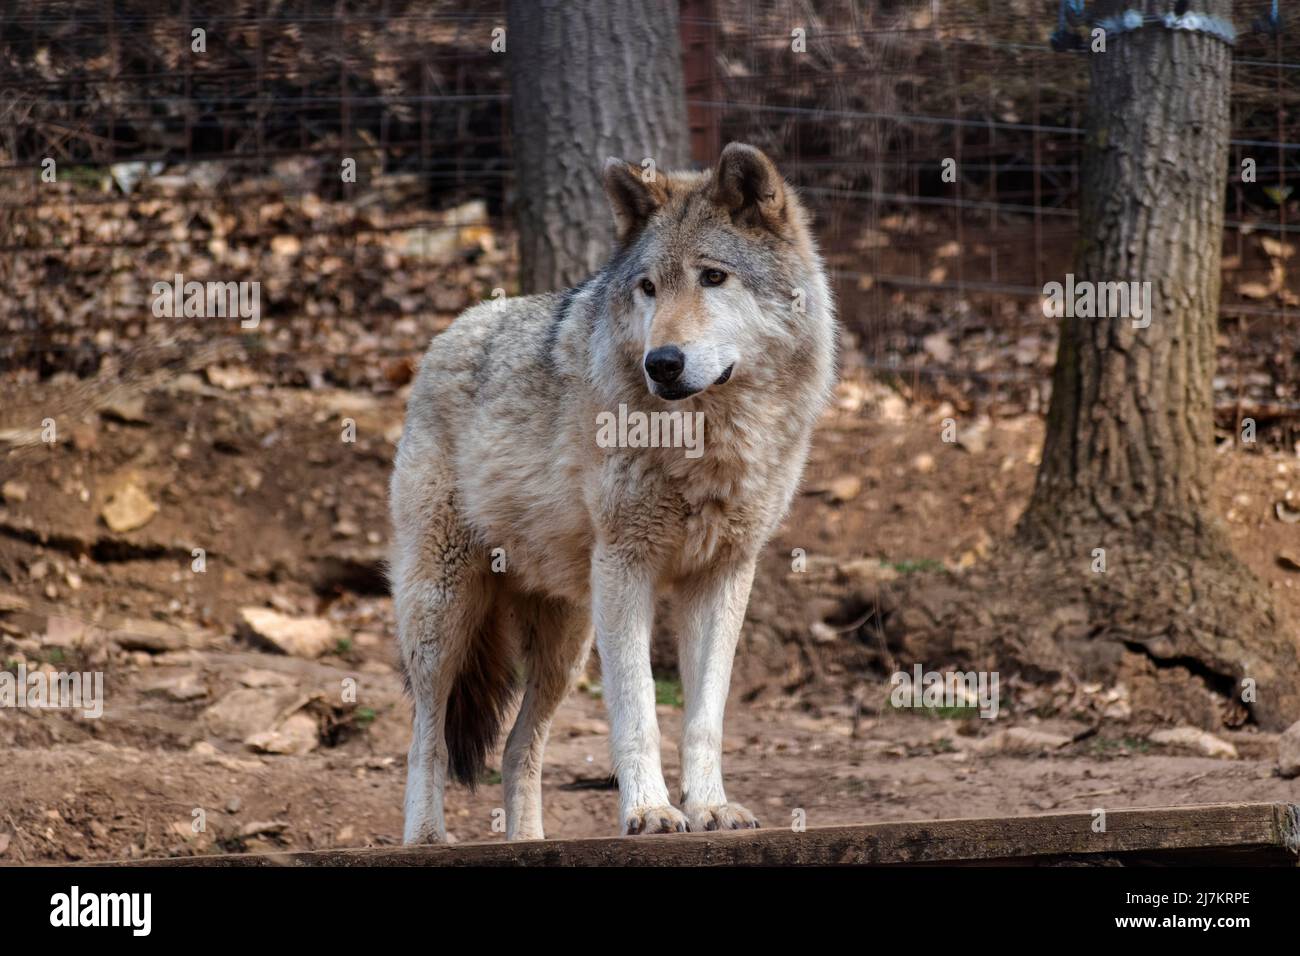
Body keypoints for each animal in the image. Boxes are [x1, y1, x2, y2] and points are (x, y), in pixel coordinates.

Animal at [389, 143, 837, 842]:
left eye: (713, 277)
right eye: (648, 287)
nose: (663, 363)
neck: (706, 437)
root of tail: (446, 333)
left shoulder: (724, 573)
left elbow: (704, 716)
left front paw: (710, 807)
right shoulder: (627, 565)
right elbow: (639, 709)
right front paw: (650, 811)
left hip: (566, 645)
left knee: (518, 747)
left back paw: (527, 843)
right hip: (442, 611)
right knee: (426, 735)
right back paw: (428, 838)